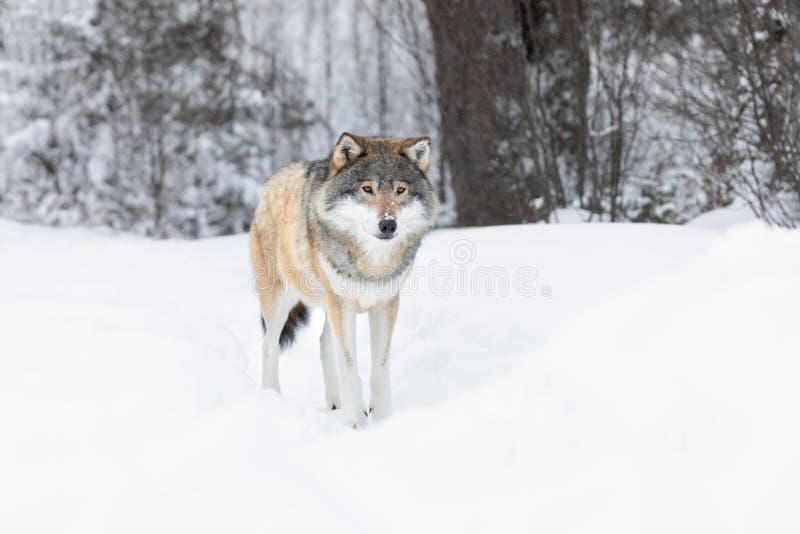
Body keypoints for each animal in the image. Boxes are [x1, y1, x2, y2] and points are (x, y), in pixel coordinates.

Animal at [249, 133, 438, 428]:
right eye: (367, 189)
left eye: (400, 190)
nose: (388, 225)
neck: (372, 266)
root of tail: (276, 178)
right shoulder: (343, 305)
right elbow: (350, 369)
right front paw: (356, 423)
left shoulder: (385, 305)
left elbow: (379, 369)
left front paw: (383, 419)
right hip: (280, 302)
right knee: (269, 347)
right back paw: (273, 400)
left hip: (329, 306)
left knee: (324, 343)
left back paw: (335, 404)